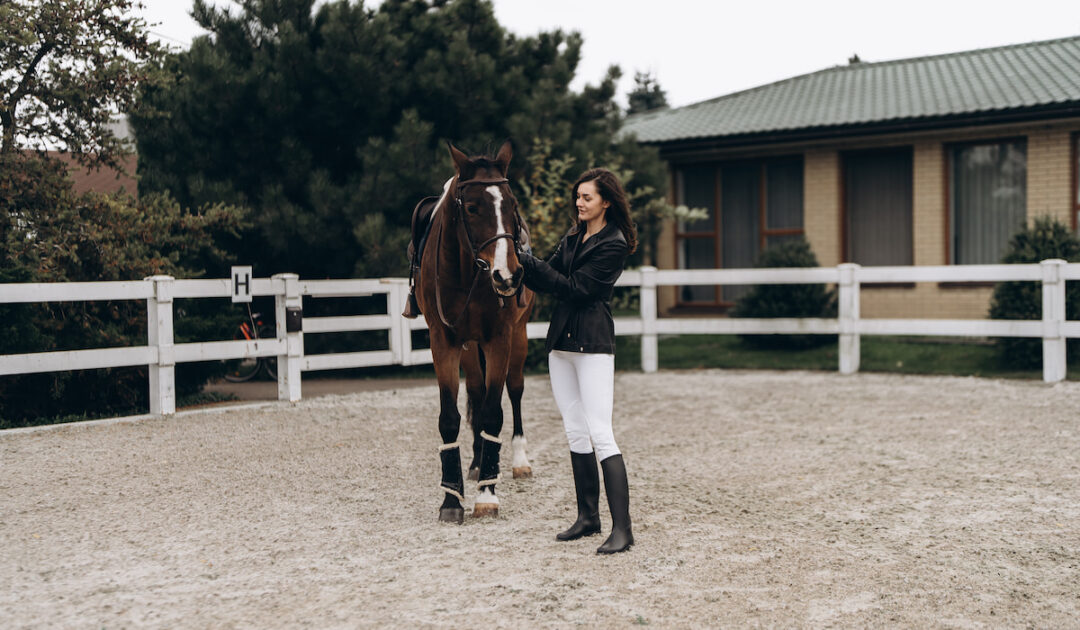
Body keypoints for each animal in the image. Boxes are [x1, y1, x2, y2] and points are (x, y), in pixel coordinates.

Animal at [416, 140, 535, 524]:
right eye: (471, 207)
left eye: (512, 205)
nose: (508, 275)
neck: (467, 272)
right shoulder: (444, 342)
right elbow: (451, 418)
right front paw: (451, 498)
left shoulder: (500, 339)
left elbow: (494, 413)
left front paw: (487, 495)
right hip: (470, 348)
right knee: (478, 394)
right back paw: (477, 463)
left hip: (519, 338)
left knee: (514, 391)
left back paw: (518, 461)